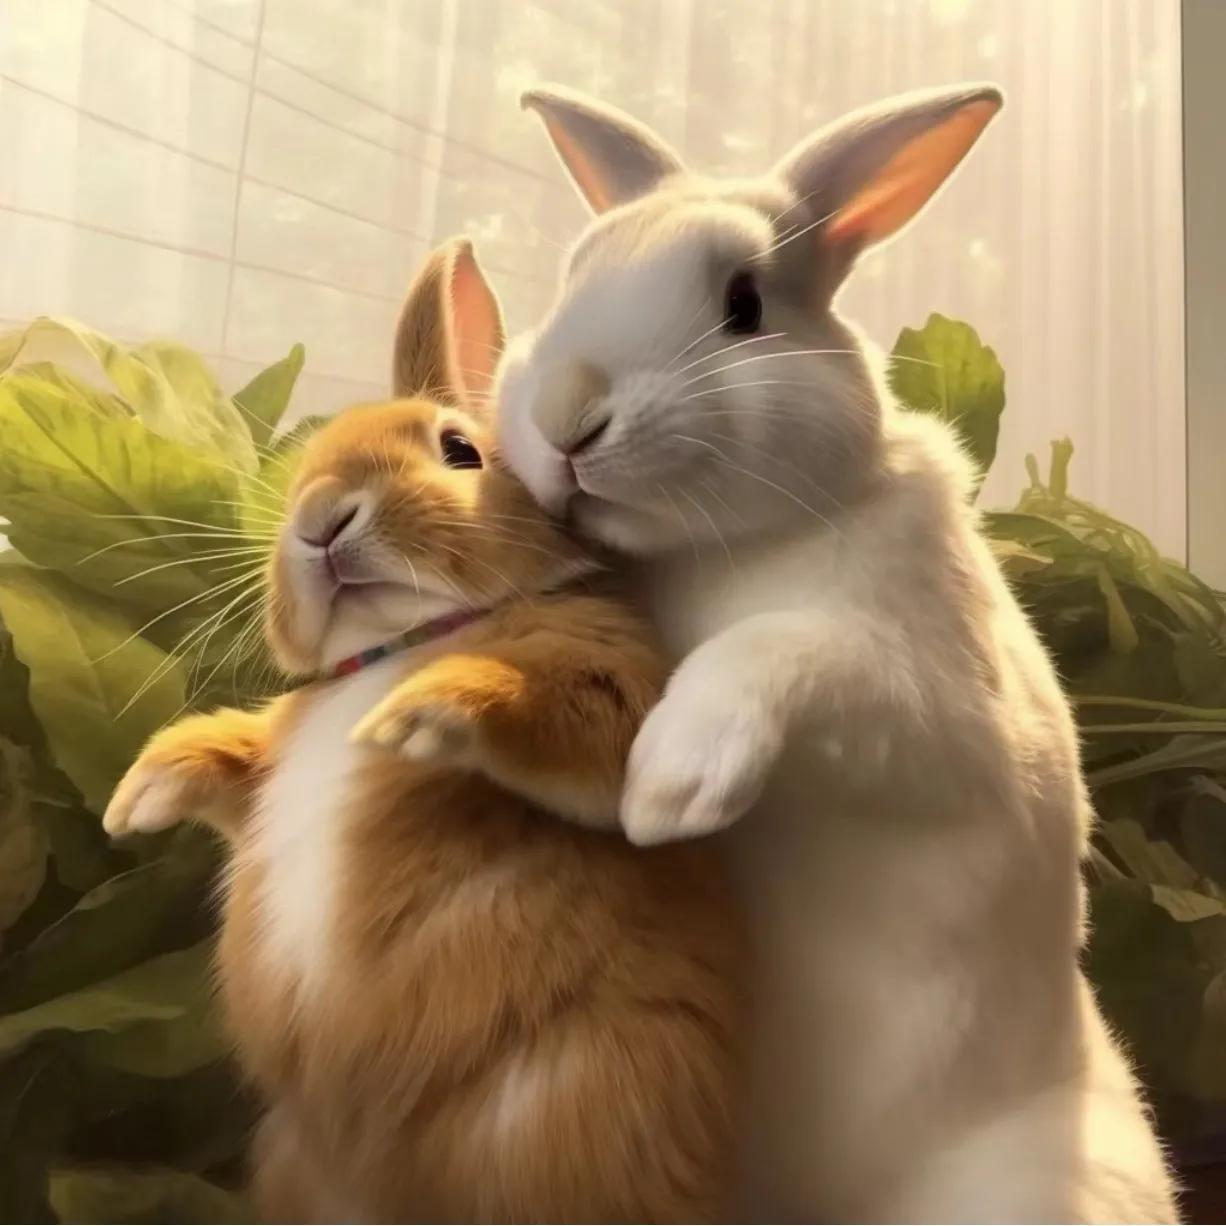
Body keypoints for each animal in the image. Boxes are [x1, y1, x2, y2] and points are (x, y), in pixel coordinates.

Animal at [103, 238, 745, 1224]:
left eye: (459, 450)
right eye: (308, 466)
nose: (321, 519)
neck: (405, 636)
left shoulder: (616, 695)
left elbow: (560, 725)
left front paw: (410, 716)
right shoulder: (273, 756)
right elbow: (237, 758)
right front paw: (138, 796)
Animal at [496, 84, 1180, 1223]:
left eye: (743, 304)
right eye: (572, 279)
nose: (564, 419)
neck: (711, 548)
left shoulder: (934, 711)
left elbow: (784, 650)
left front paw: (671, 788)